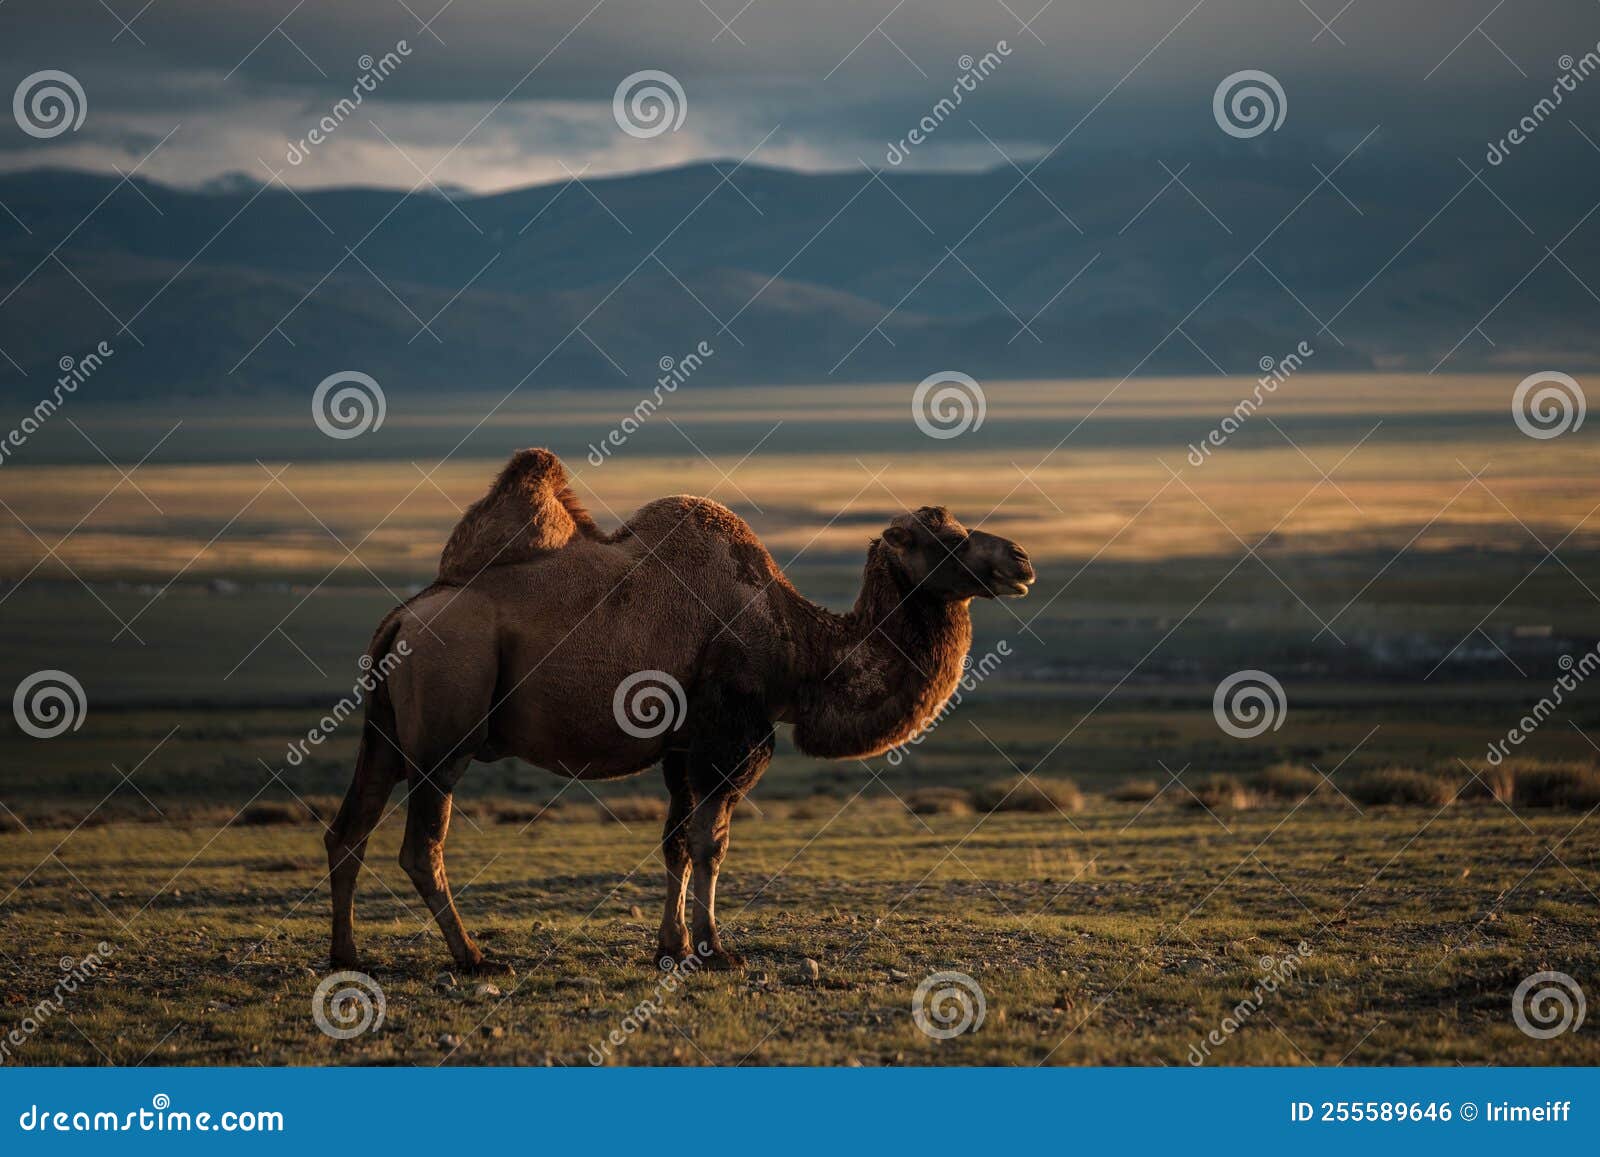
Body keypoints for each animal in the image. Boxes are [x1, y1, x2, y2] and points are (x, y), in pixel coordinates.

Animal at [325, 448, 1034, 973]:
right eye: (950, 539)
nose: (1022, 559)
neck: (795, 645)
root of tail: (399, 619)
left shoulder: (682, 745)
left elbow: (674, 844)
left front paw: (671, 946)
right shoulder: (732, 736)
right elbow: (709, 843)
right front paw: (717, 950)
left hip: (383, 730)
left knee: (349, 828)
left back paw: (347, 956)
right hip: (446, 723)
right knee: (421, 846)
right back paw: (472, 957)